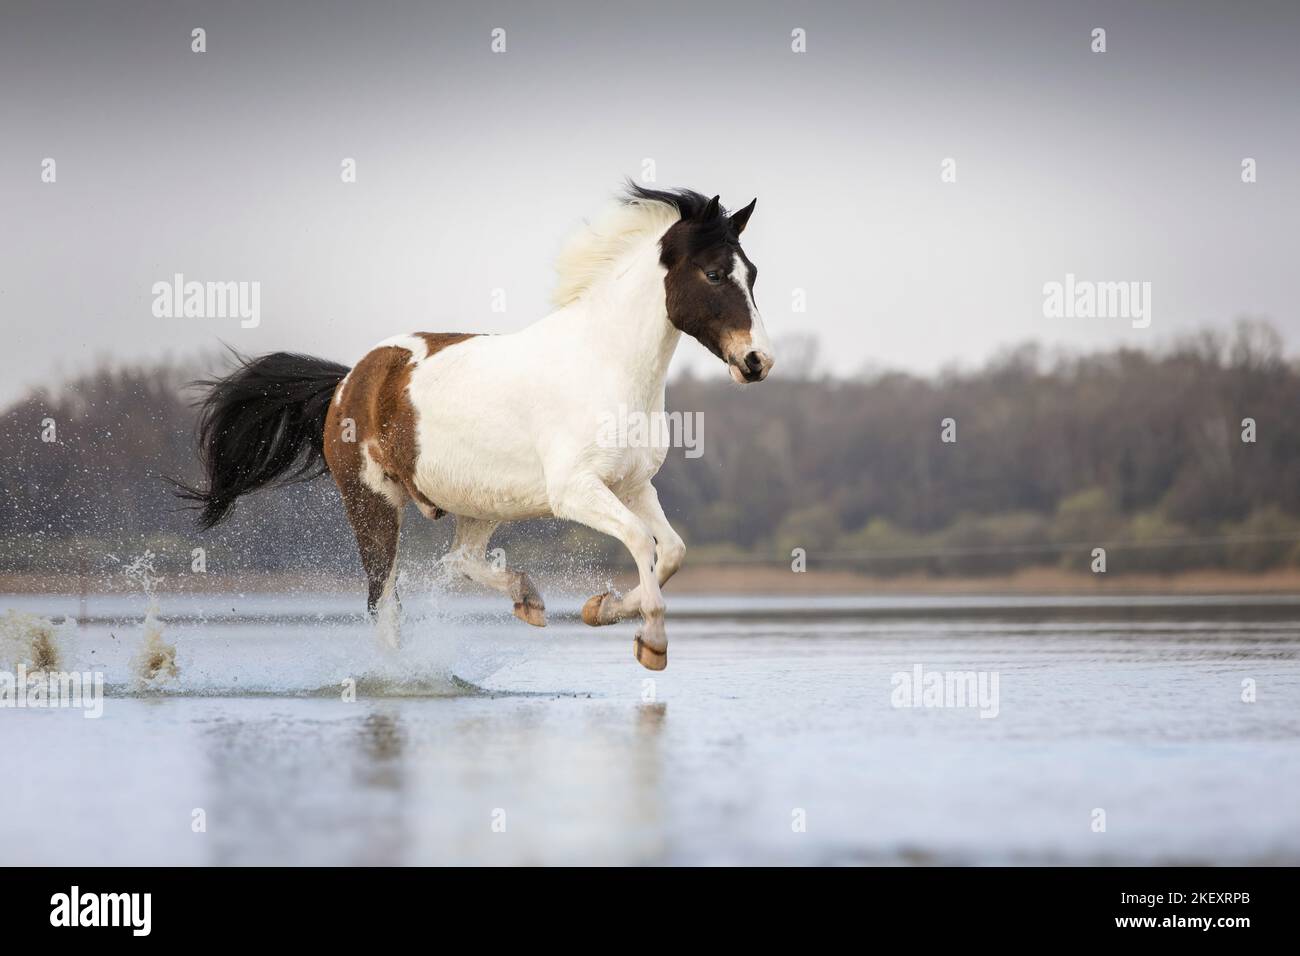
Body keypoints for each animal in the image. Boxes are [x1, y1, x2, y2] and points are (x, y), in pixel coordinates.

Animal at [176, 185, 775, 670]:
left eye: (752, 275)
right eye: (714, 274)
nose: (756, 361)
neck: (606, 365)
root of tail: (350, 379)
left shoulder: (632, 485)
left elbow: (671, 549)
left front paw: (599, 609)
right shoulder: (577, 491)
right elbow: (638, 540)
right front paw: (651, 642)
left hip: (481, 505)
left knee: (459, 560)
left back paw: (528, 598)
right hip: (373, 504)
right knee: (383, 598)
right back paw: (398, 674)